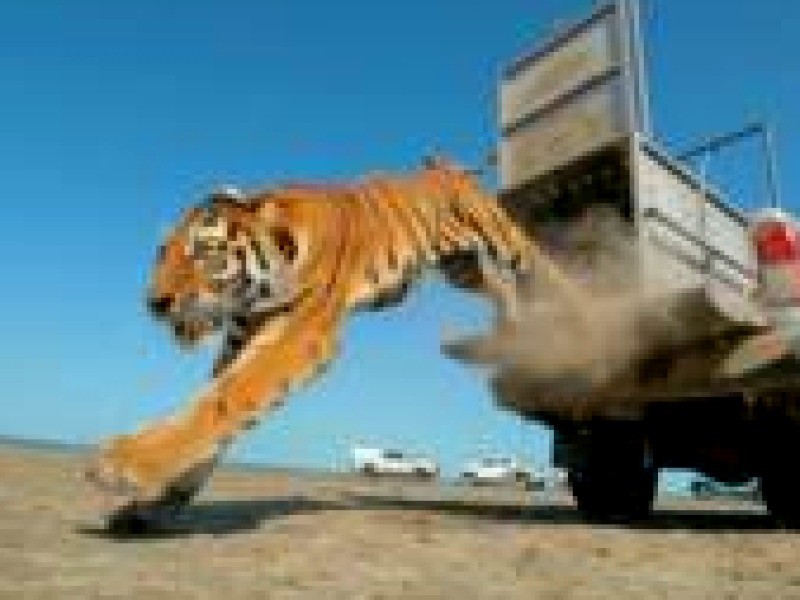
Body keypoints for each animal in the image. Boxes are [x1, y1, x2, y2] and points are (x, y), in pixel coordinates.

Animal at [85, 157, 584, 526]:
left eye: (204, 251)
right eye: (162, 252)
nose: (153, 303)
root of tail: (448, 164)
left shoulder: (299, 336)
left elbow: (227, 398)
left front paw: (126, 463)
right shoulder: (241, 338)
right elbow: (213, 411)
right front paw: (154, 506)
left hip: (499, 234)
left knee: (539, 263)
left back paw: (585, 310)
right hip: (464, 268)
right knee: (502, 289)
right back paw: (516, 329)